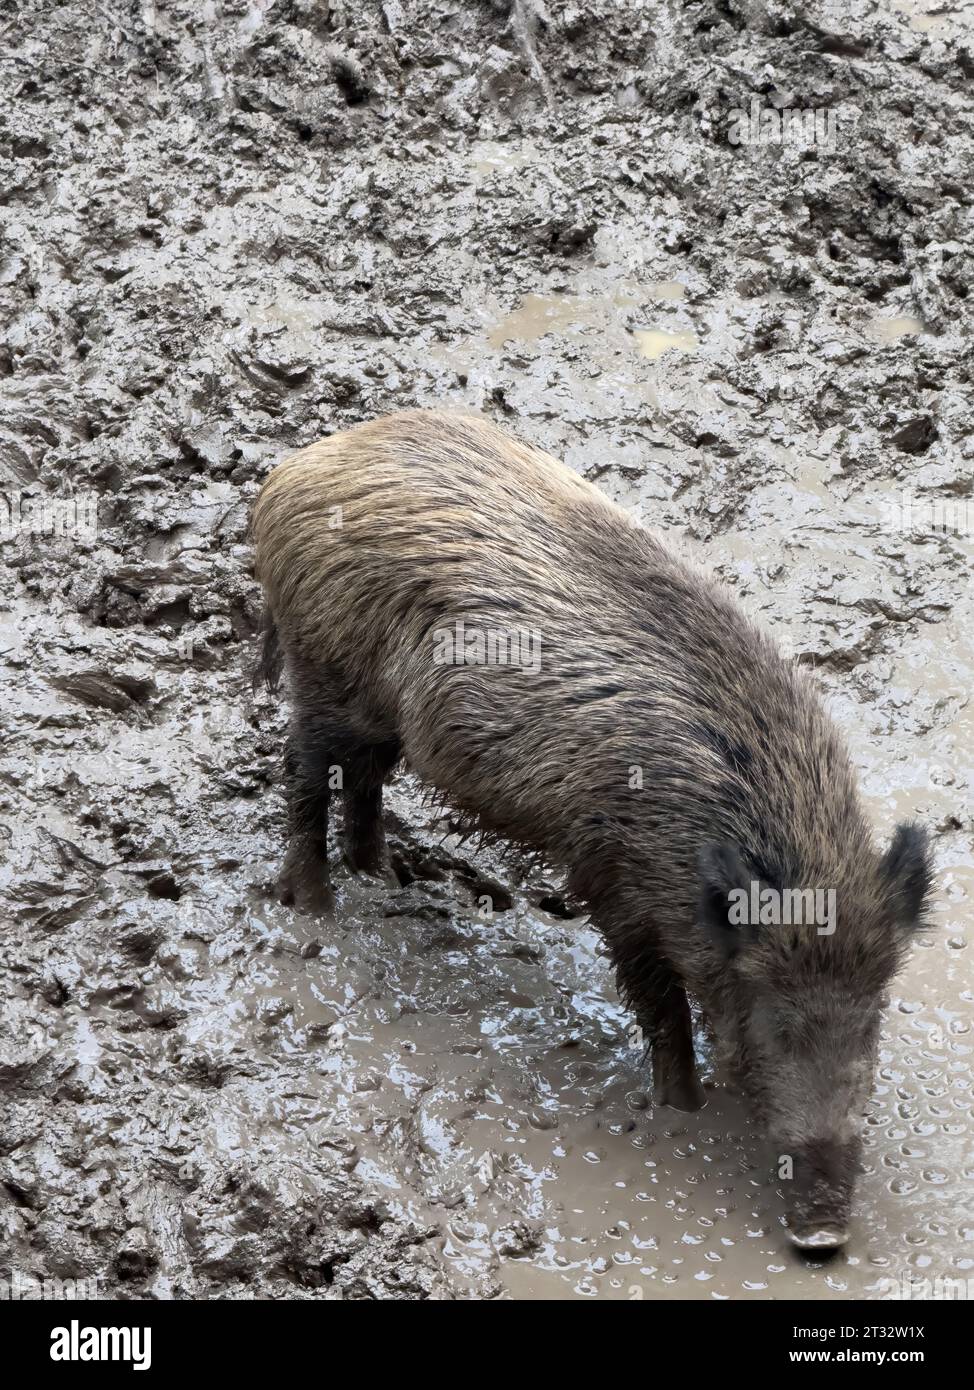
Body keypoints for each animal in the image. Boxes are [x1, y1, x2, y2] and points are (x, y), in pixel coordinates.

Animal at [251, 408, 933, 1251]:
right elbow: (660, 1003)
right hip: (321, 668)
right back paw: (314, 906)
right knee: (304, 767)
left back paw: (380, 874)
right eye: (775, 1021)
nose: (824, 1236)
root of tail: (294, 471)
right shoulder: (613, 878)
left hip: (380, 713)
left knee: (366, 775)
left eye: (873, 1020)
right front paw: (680, 1108)